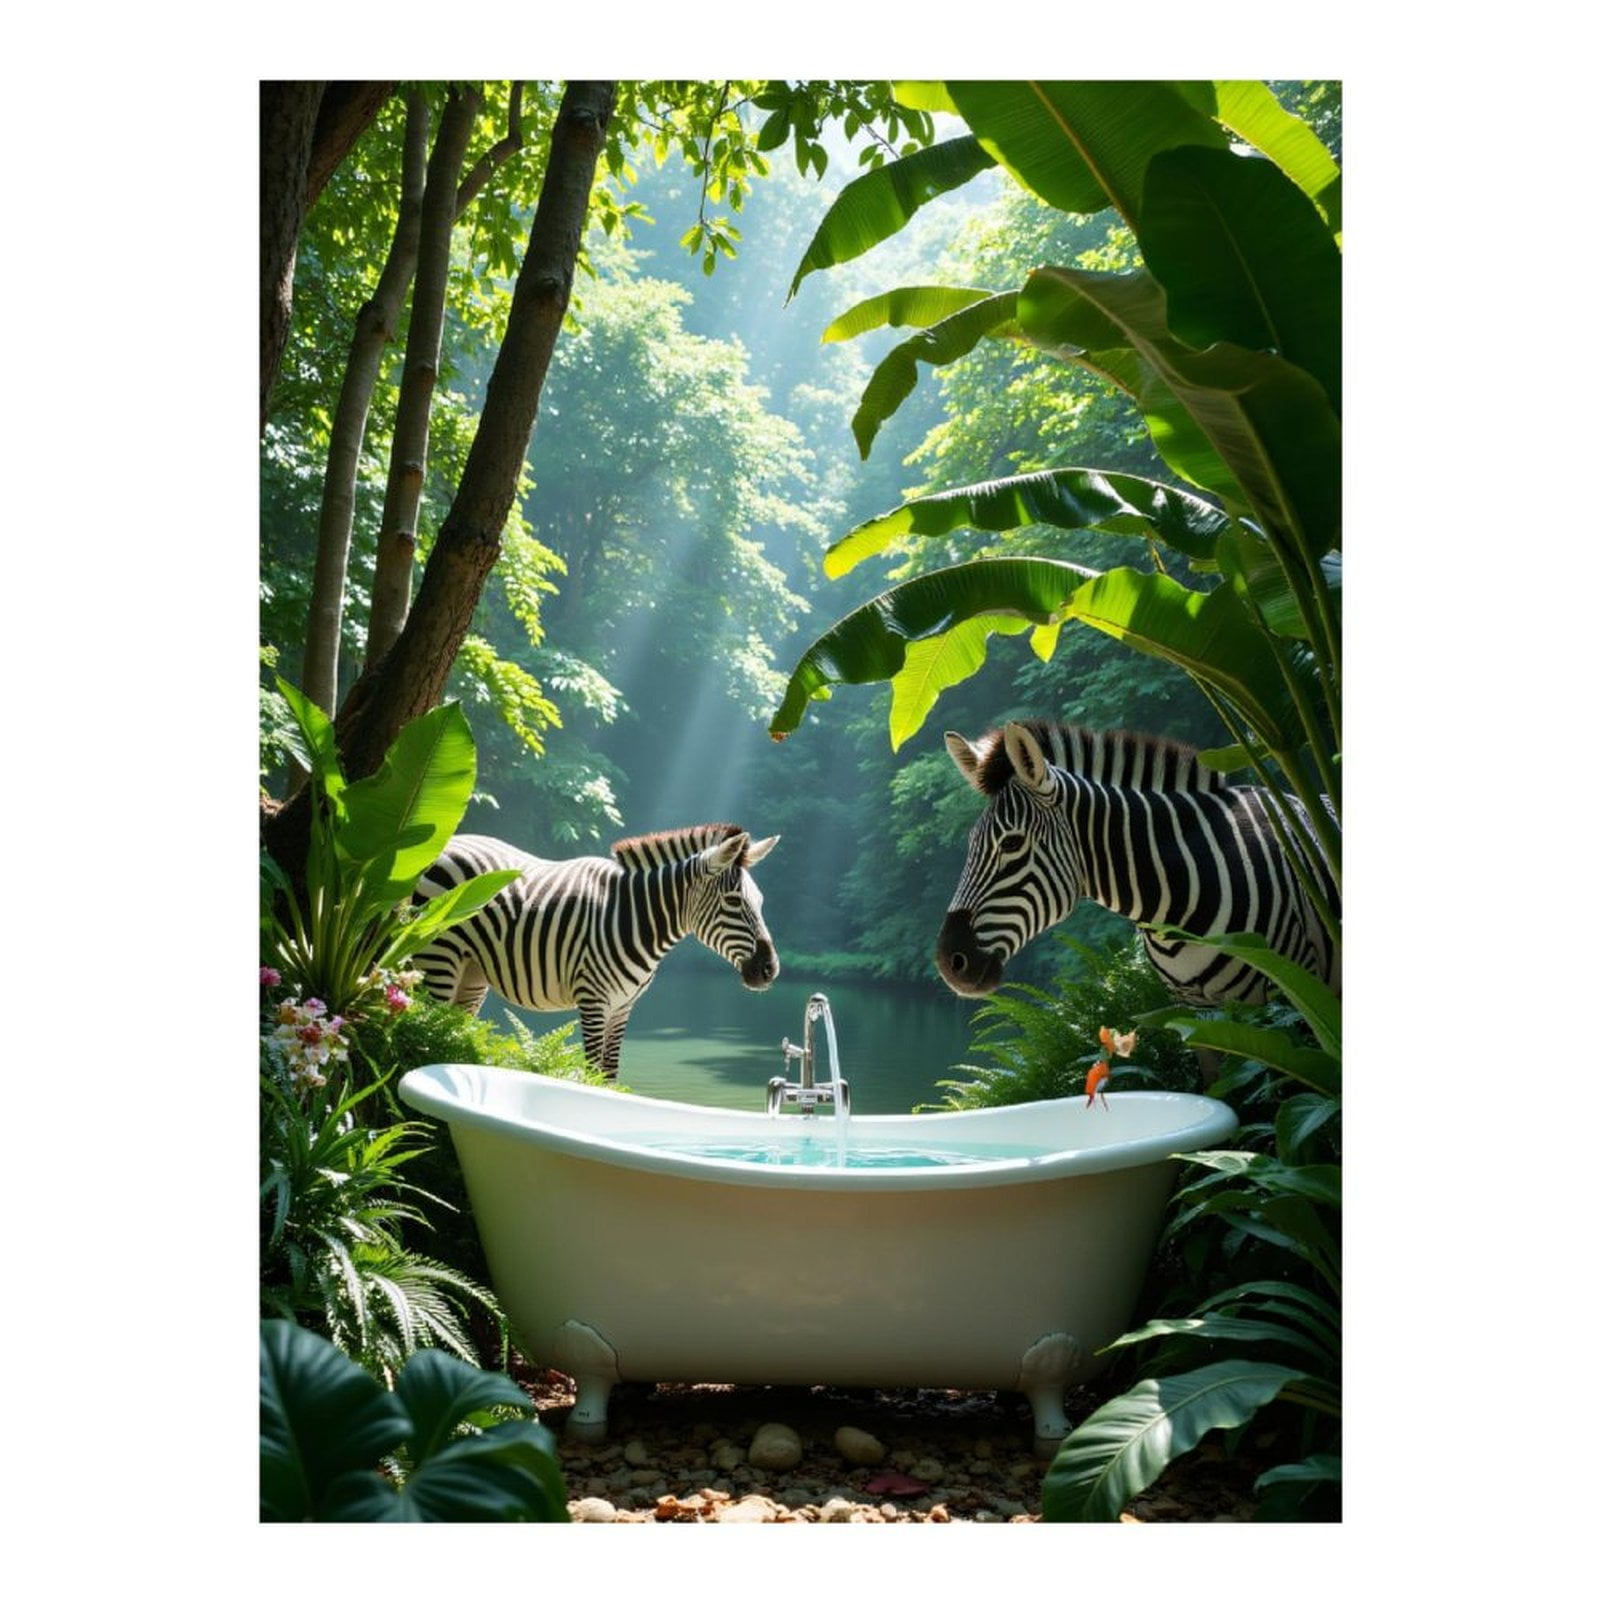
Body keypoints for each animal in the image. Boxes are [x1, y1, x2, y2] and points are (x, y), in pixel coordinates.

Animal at [412, 825, 780, 1078]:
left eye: (762, 901)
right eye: (733, 901)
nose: (770, 970)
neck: (634, 919)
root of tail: (449, 843)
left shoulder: (623, 1006)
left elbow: (610, 1074)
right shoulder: (593, 1000)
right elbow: (591, 1074)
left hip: (470, 973)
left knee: (451, 1032)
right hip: (436, 958)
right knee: (422, 1027)